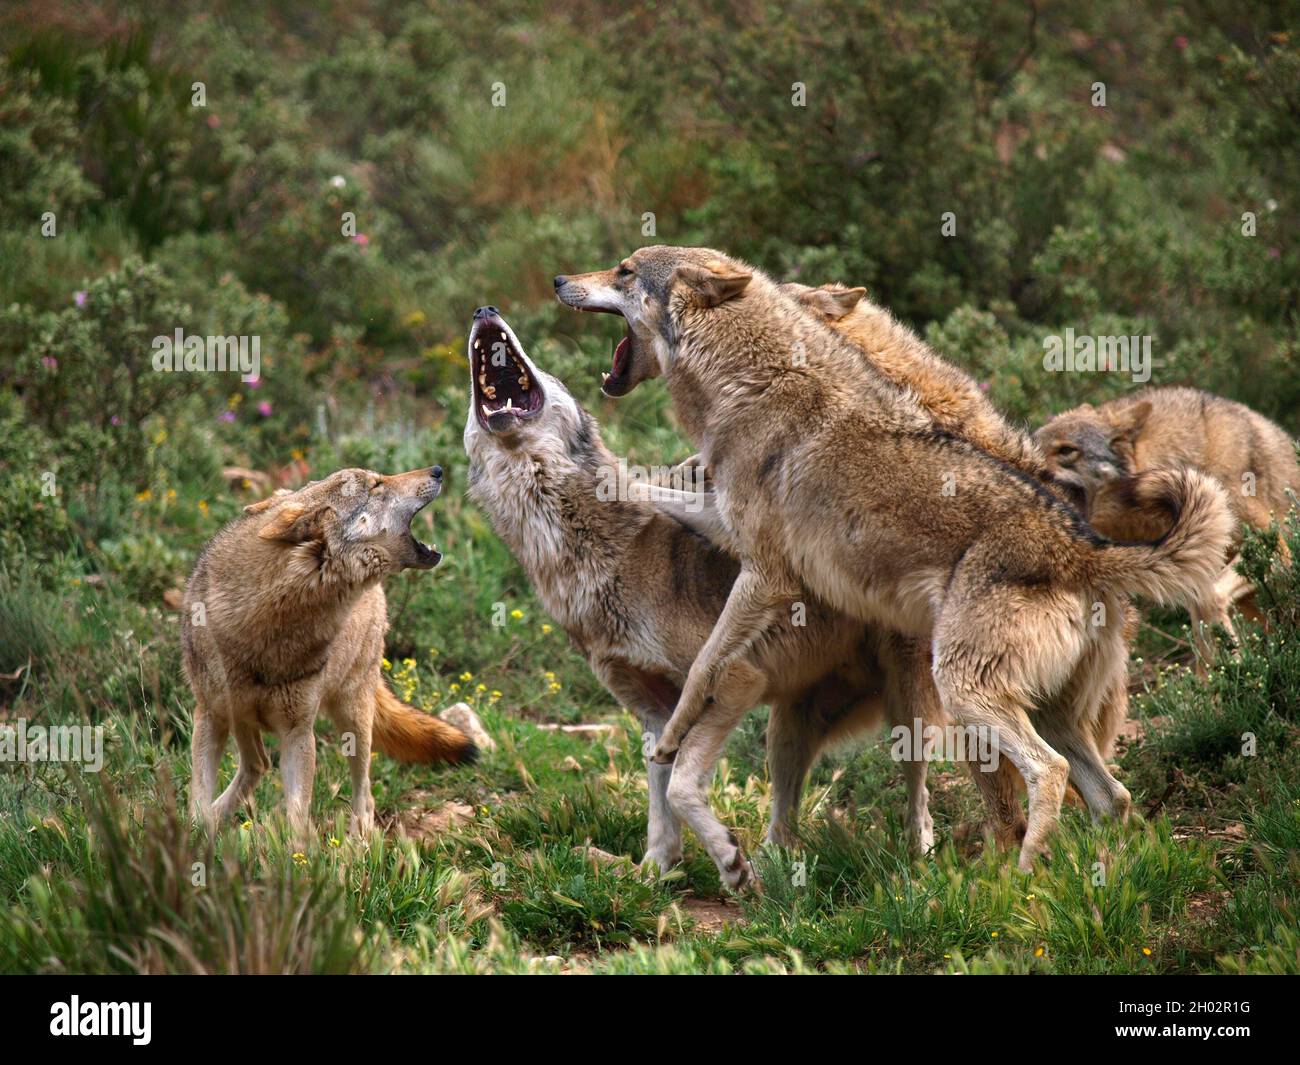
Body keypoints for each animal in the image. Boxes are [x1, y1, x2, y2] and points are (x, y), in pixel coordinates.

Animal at [182, 465, 476, 839]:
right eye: (375, 484)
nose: (438, 470)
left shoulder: (298, 733)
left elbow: (297, 817)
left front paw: (296, 854)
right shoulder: (210, 715)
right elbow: (198, 795)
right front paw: (194, 835)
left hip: (354, 718)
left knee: (364, 794)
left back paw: (358, 843)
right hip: (242, 717)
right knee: (258, 763)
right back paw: (219, 815)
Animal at [463, 305, 944, 889]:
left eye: (548, 373)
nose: (484, 310)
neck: (583, 555)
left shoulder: (733, 682)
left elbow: (680, 789)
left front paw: (729, 863)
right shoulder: (652, 713)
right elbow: (658, 794)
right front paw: (654, 871)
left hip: (905, 715)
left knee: (923, 800)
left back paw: (917, 864)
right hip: (785, 732)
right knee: (786, 818)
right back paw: (778, 869)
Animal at [555, 246, 1235, 870]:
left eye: (623, 269)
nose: (560, 279)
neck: (752, 378)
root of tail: (1083, 546)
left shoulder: (765, 576)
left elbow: (701, 667)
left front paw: (669, 740)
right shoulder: (729, 529)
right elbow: (650, 492)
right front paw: (595, 471)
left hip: (963, 695)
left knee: (1047, 775)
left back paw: (1018, 882)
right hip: (1043, 712)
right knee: (1111, 796)